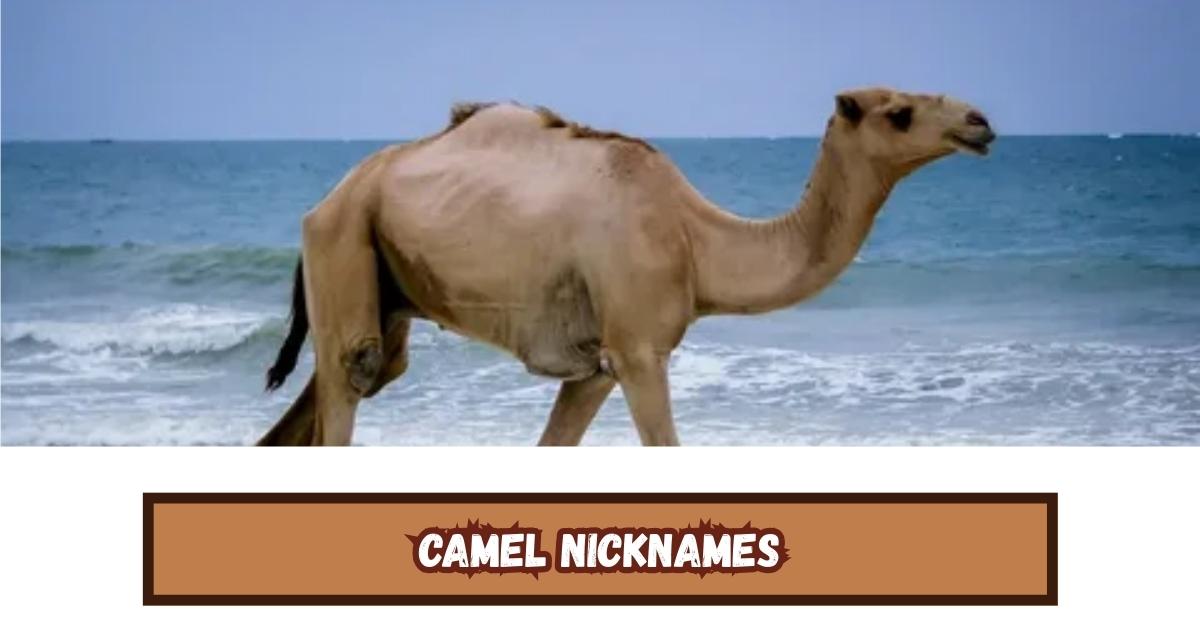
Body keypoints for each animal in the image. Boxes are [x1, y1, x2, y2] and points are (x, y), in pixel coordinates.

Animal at [257, 87, 994, 446]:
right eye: (899, 113)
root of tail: (328, 198)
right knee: (352, 374)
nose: (980, 122)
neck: (696, 240)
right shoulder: (639, 350)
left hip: (378, 281)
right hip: (342, 243)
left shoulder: (597, 367)